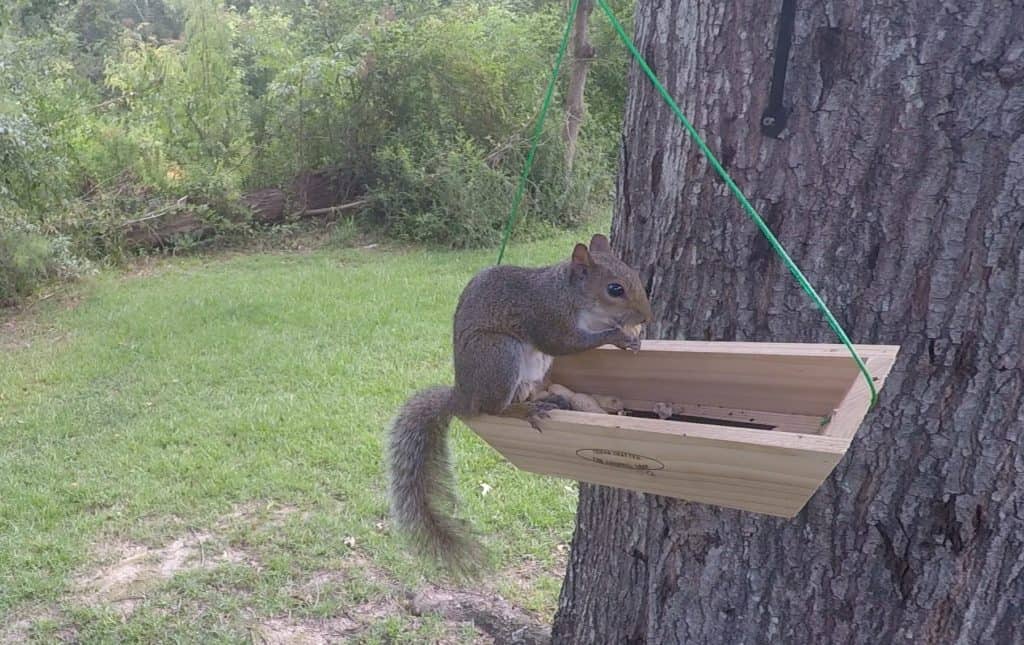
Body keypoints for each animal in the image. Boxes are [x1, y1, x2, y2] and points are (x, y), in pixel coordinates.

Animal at [386, 233, 652, 573]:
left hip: (531, 367)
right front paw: (618, 336)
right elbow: (566, 343)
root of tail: (463, 396)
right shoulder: (547, 317)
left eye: (634, 275)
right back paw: (524, 410)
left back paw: (546, 397)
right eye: (614, 289)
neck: (571, 296)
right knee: (493, 409)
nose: (646, 317)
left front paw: (635, 337)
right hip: (500, 353)